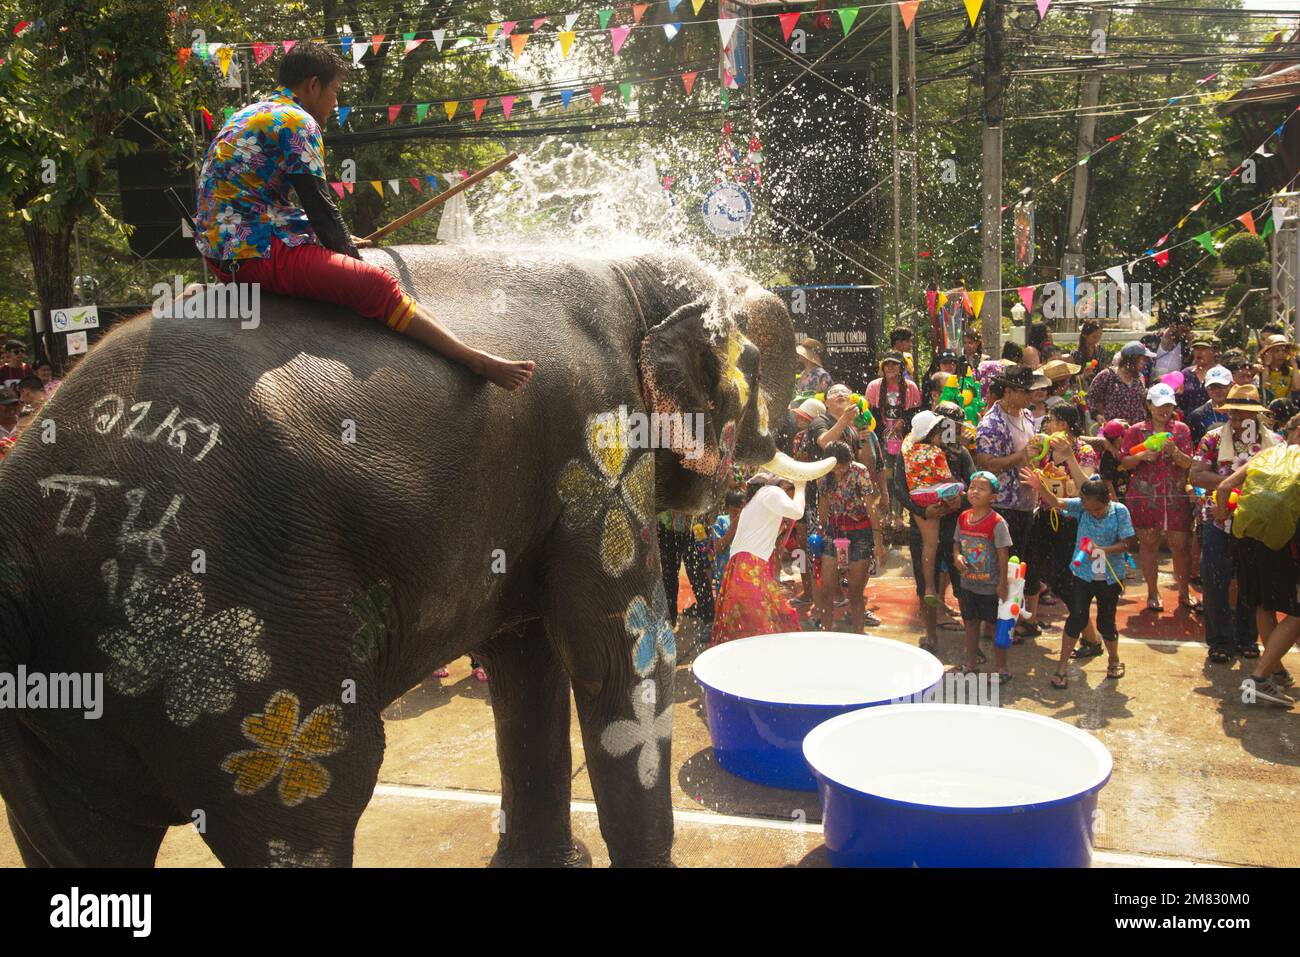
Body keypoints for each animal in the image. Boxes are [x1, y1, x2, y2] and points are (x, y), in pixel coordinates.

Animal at [0, 244, 818, 867]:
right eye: (761, 367)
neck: (629, 264)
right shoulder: (597, 446)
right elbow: (615, 655)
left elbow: (526, 661)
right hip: (245, 620)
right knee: (313, 797)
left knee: (74, 836)